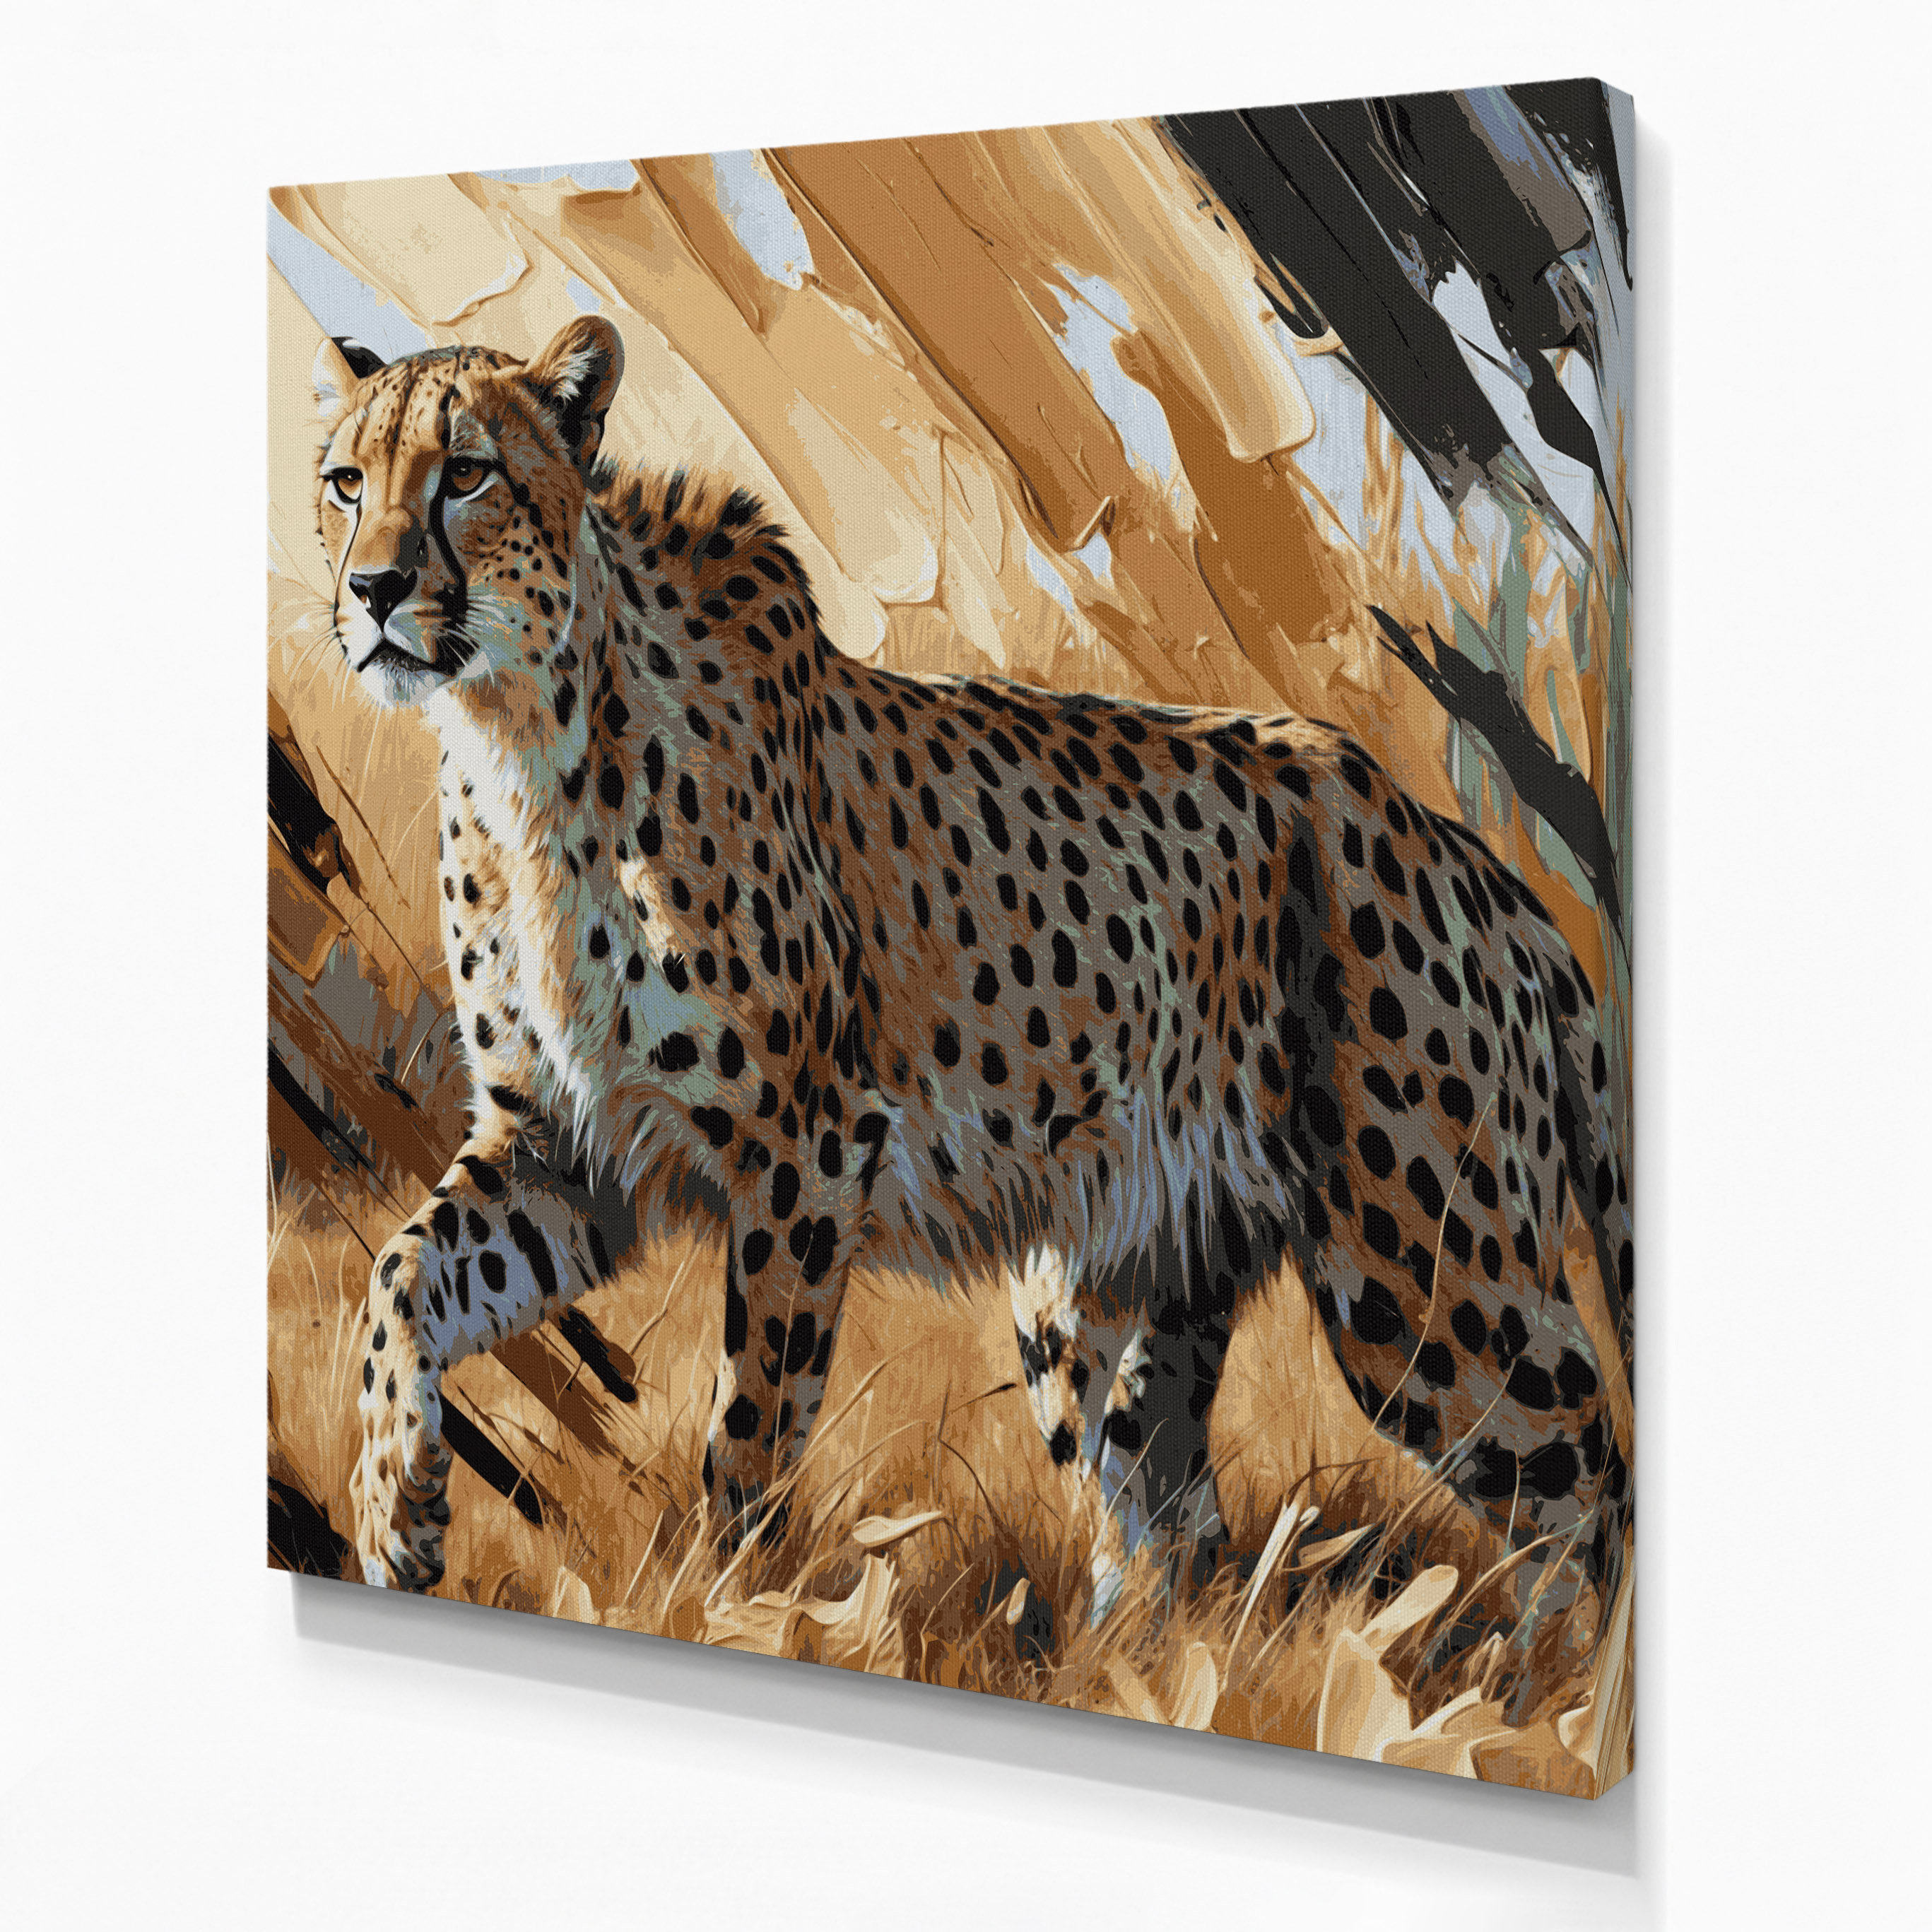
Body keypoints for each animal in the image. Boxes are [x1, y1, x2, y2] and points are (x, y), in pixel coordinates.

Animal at [308, 315, 1631, 1640]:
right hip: (1120, 1281)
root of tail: (1457, 846)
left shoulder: (803, 1152)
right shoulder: (563, 1152)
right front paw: (395, 1509)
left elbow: (750, 1419)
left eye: (466, 474)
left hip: (1431, 1284)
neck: (521, 738)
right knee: (1171, 1516)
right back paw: (1121, 1653)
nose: (371, 592)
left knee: (1586, 1487)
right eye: (347, 483)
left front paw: (726, 1600)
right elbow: (398, 1280)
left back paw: (1546, 1680)